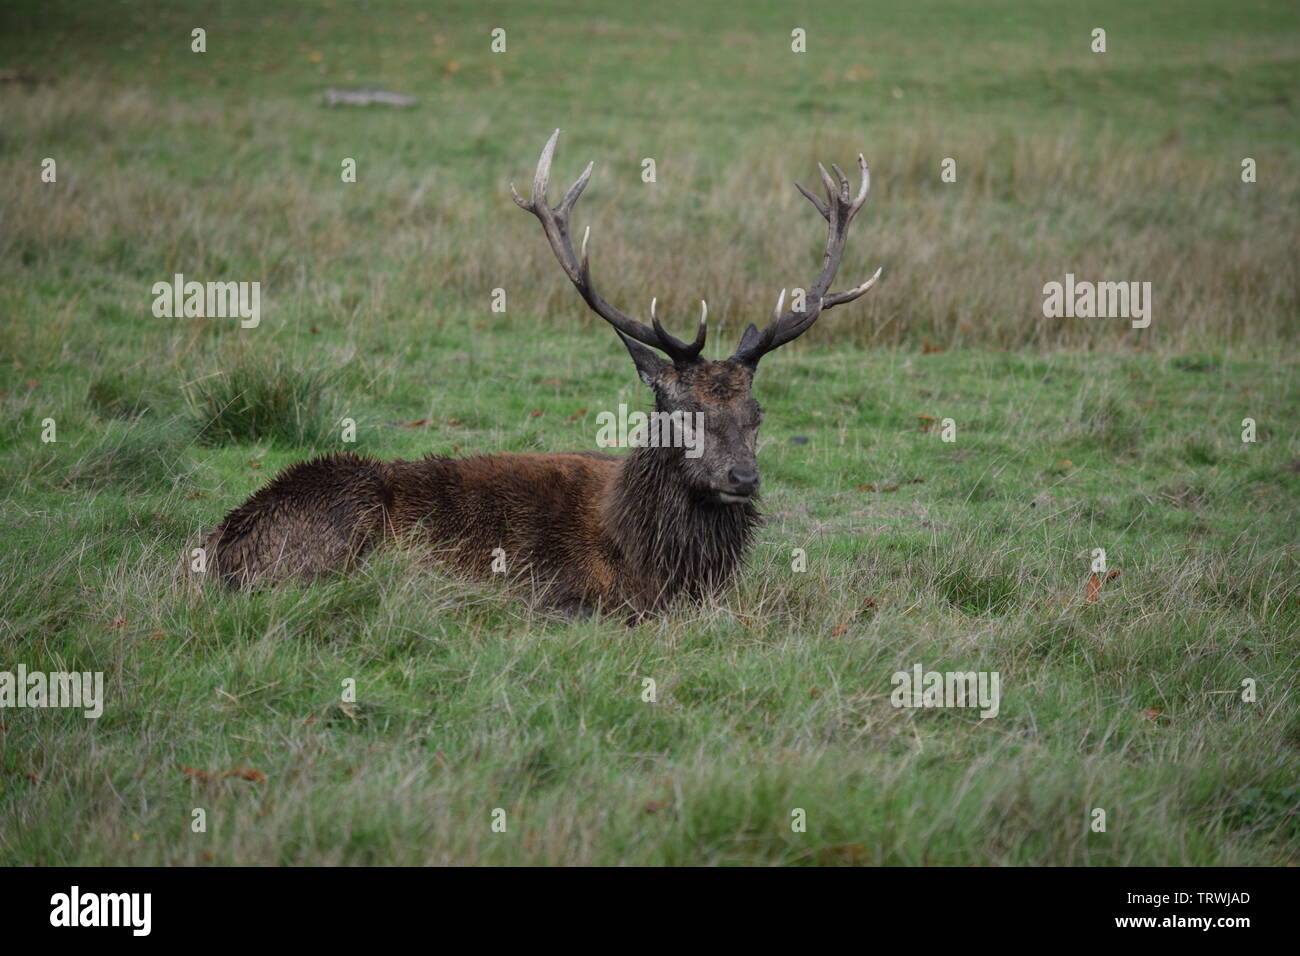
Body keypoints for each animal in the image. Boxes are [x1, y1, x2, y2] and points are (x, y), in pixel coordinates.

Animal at [202, 130, 881, 615]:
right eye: (682, 411)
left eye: (757, 412)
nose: (744, 477)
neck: (649, 555)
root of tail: (217, 545)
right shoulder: (561, 588)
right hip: (343, 514)